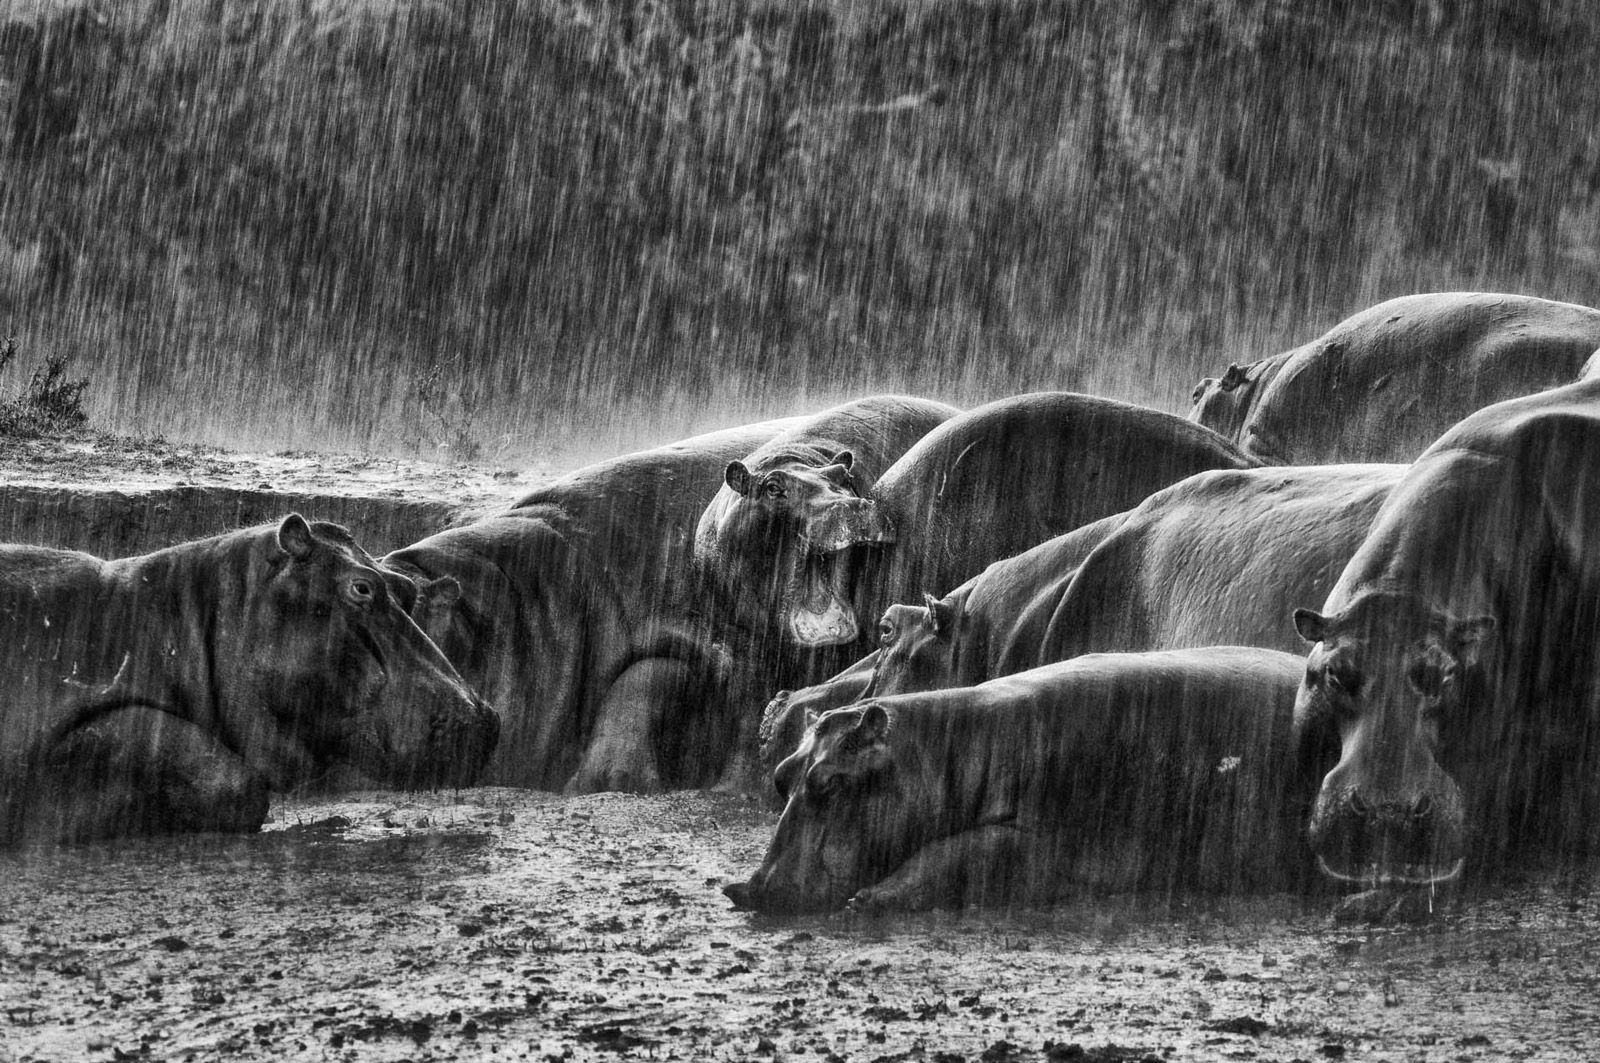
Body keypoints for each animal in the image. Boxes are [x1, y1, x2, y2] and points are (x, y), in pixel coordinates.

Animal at [724, 647, 1312, 913]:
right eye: (781, 776)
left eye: (829, 782)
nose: (748, 888)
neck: (935, 747)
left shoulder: (1035, 837)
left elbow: (948, 856)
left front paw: (866, 901)